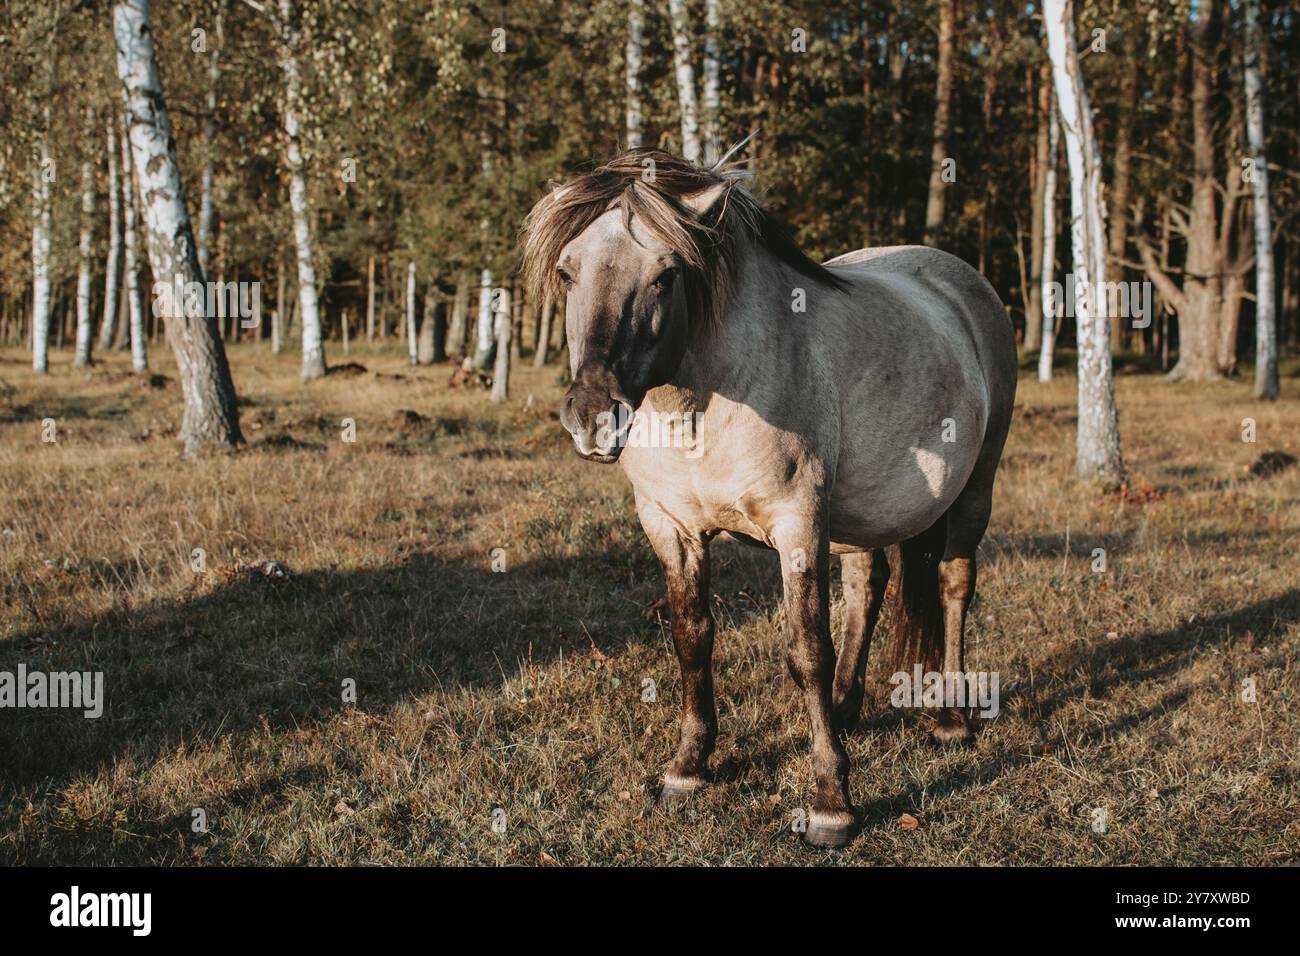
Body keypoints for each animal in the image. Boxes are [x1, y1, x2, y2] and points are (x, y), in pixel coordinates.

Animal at [522, 147, 1017, 848]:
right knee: (868, 585)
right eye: (568, 272)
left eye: (666, 276)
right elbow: (693, 637)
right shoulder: (670, 527)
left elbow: (806, 651)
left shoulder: (797, 525)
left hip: (974, 489)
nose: (594, 416)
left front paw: (832, 802)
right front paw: (689, 766)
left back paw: (950, 718)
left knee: (954, 584)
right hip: (861, 517)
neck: (705, 404)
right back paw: (846, 707)